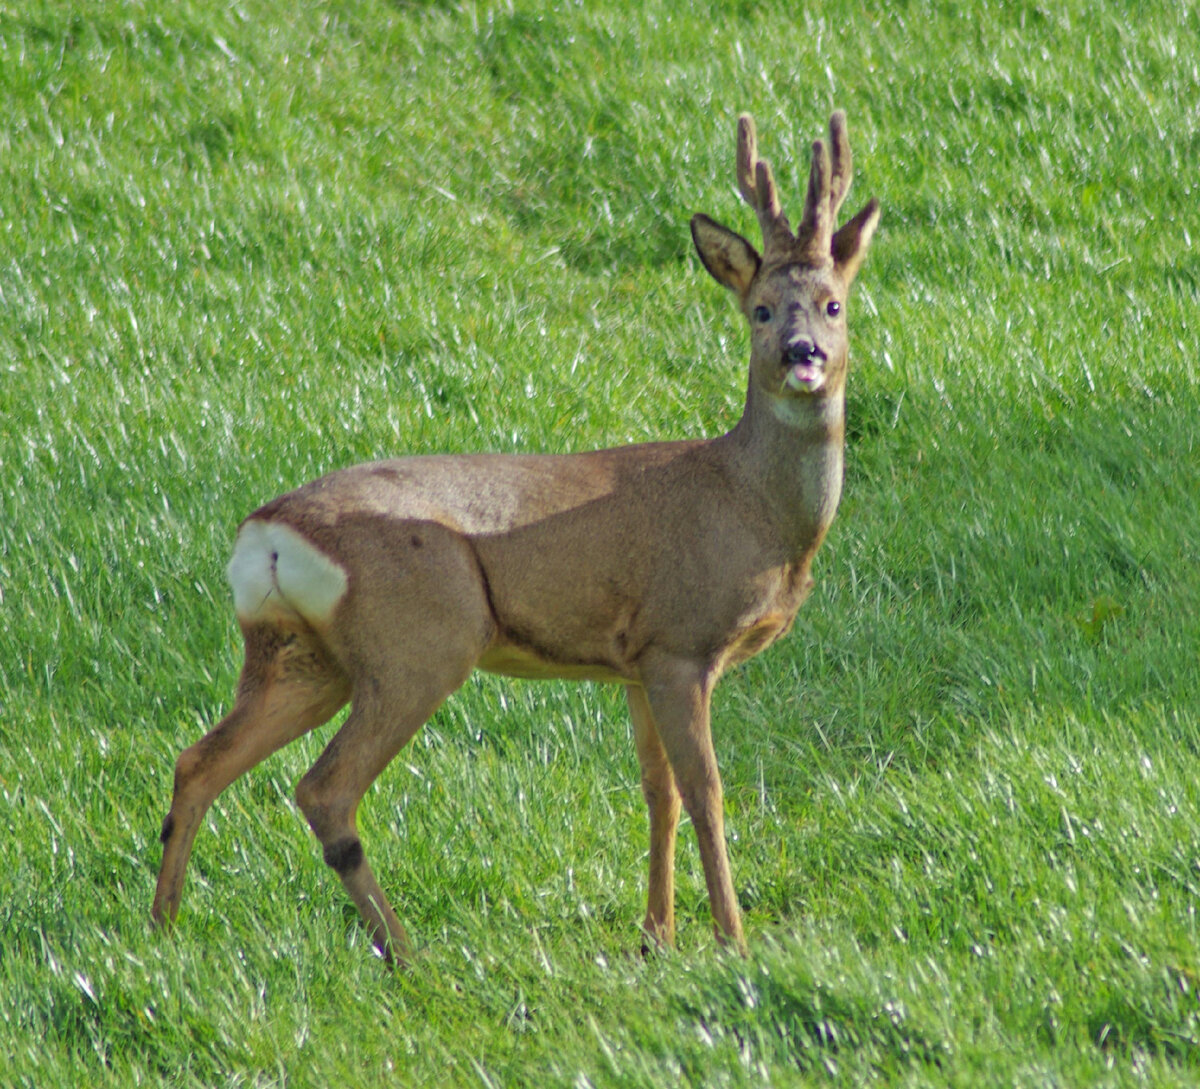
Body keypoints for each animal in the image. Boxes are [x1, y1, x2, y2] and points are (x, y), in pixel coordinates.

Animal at [154, 110, 878, 959]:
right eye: (760, 309)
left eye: (834, 304)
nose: (804, 356)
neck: (754, 507)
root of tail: (264, 533)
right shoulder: (681, 640)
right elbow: (705, 791)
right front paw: (731, 938)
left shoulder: (632, 661)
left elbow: (657, 791)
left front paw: (655, 936)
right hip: (421, 639)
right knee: (323, 787)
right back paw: (404, 951)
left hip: (301, 657)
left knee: (199, 760)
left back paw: (161, 930)